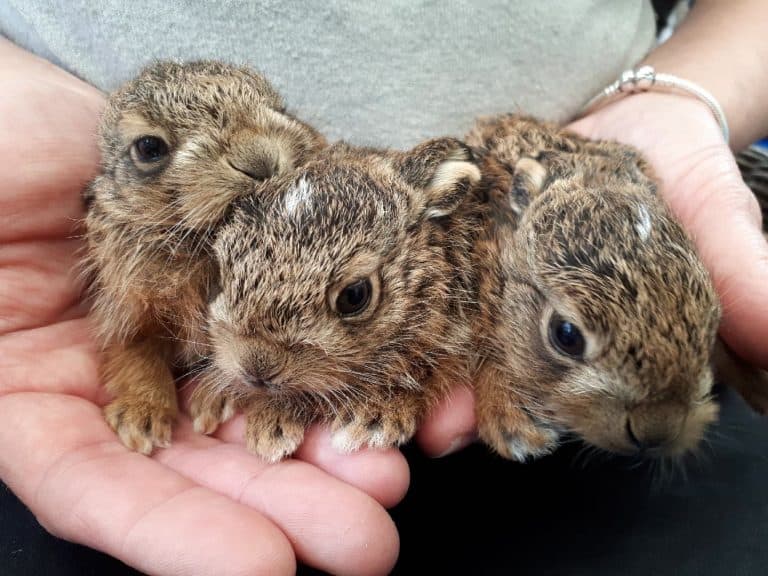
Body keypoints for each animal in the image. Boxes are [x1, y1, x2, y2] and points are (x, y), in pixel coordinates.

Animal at [82, 60, 326, 454]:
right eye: (149, 147)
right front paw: (141, 419)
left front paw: (213, 399)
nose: (259, 159)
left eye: (282, 110)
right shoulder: (130, 307)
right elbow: (136, 357)